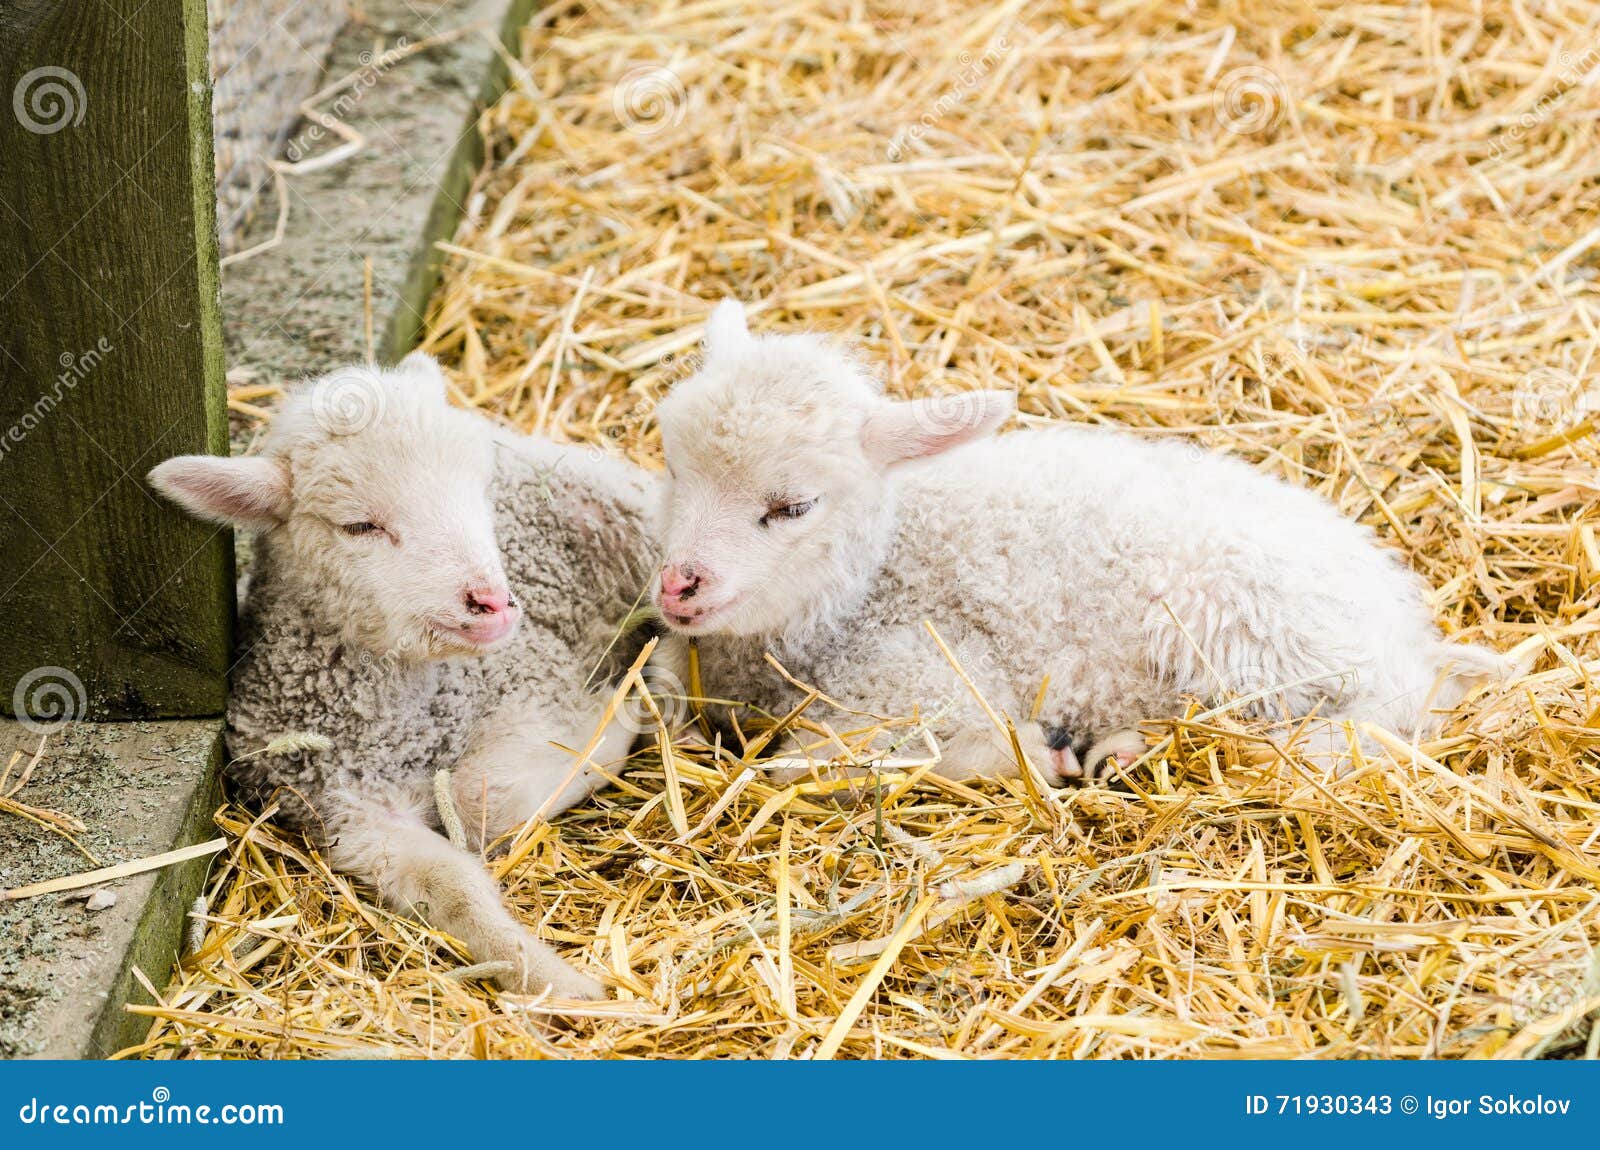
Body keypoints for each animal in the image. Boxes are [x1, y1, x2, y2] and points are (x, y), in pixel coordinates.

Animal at [148, 353, 659, 999]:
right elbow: (454, 878)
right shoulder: (348, 813)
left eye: (477, 493)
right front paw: (557, 986)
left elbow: (483, 796)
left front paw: (619, 715)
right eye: (359, 526)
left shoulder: (536, 679)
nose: (491, 602)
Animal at [648, 301, 1506, 784]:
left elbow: (802, 764)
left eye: (792, 506)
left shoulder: (922, 681)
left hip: (1249, 628)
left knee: (1376, 718)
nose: (678, 585)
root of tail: (1404, 624)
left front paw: (1030, 753)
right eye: (672, 466)